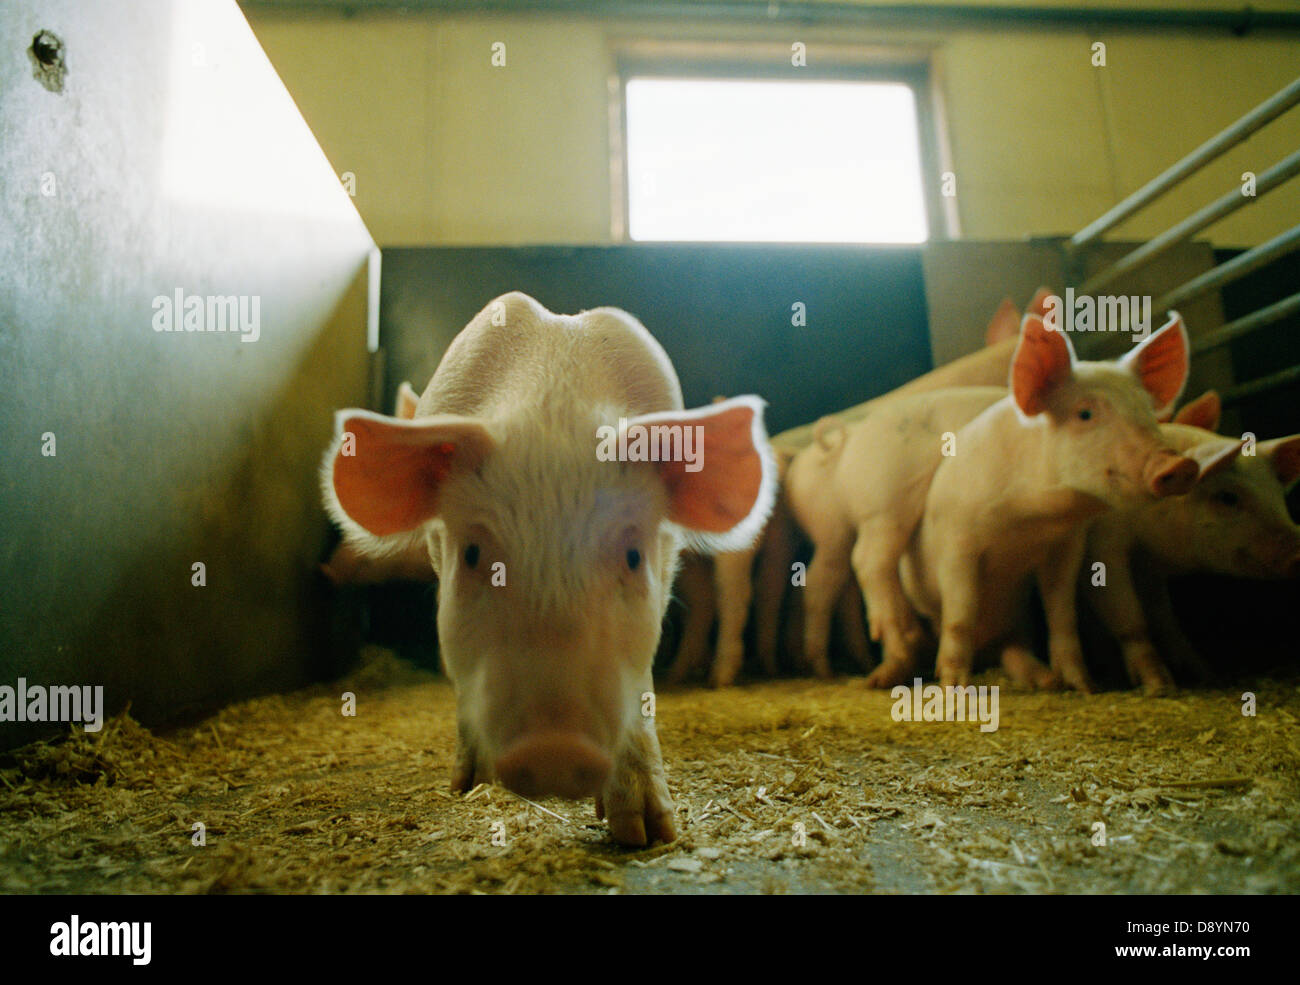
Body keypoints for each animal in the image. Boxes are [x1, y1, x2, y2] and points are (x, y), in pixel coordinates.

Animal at [321, 292, 776, 845]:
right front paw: (472, 784)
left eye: (633, 555)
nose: (555, 748)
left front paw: (649, 835)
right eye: (473, 554)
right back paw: (467, 782)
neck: (554, 404)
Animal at [898, 312, 1197, 691]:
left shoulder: (1066, 546)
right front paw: (954, 688)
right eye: (1084, 414)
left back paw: (1045, 680)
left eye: (1145, 410)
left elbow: (1062, 613)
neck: (1029, 521)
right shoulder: (957, 542)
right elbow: (960, 615)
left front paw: (1083, 687)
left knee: (1011, 644)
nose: (1178, 464)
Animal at [1085, 396, 1300, 693]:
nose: (1298, 554)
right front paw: (1160, 687)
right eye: (1228, 497)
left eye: (1278, 494)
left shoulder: (1148, 565)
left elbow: (1164, 617)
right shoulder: (1104, 545)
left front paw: (1206, 675)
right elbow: (1130, 618)